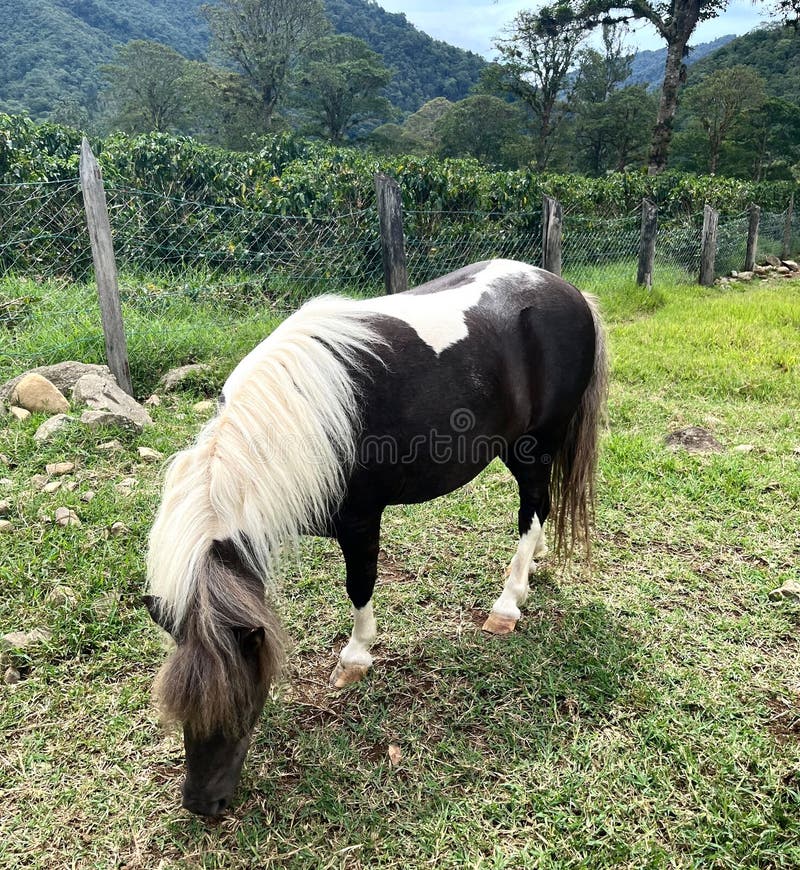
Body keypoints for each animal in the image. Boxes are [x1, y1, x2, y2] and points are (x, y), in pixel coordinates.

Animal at [143, 258, 608, 817]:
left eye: (242, 703)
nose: (200, 804)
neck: (303, 418)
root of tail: (567, 289)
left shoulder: (361, 521)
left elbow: (360, 585)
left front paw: (355, 660)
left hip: (534, 447)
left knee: (533, 510)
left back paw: (507, 605)